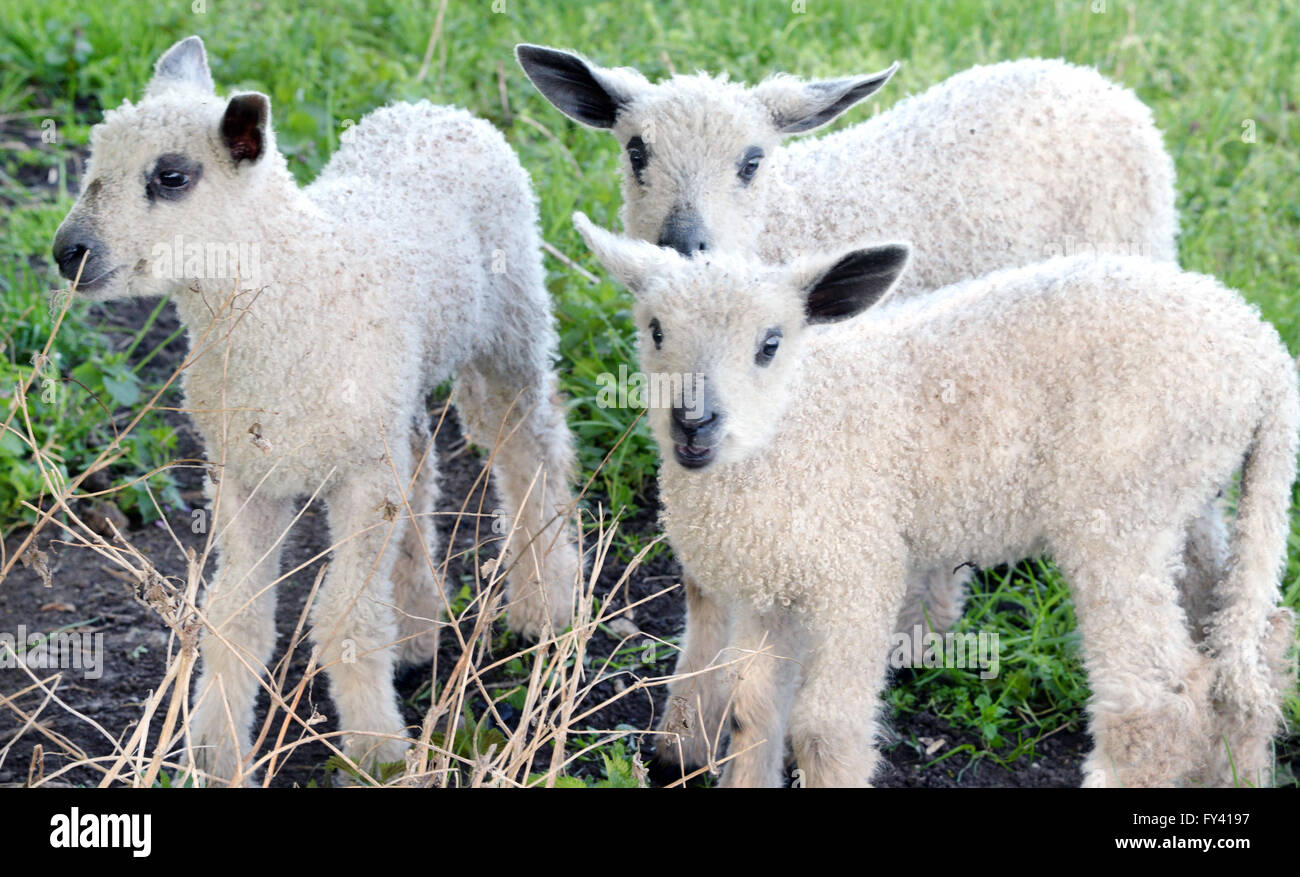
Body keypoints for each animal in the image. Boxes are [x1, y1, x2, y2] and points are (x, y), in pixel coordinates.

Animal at [50, 36, 582, 784]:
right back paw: (416, 630)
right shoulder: (244, 474)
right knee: (421, 466)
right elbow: (234, 618)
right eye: (93, 165)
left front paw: (379, 753)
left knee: (529, 445)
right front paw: (215, 755)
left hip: (508, 325)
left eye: (172, 176)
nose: (68, 252)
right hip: (392, 395)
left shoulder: (358, 472)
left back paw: (545, 606)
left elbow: (346, 618)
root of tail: (432, 106)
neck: (294, 287)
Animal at [516, 47, 1227, 770]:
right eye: (637, 149)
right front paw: (683, 737)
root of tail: (1087, 76)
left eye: (751, 160)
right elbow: (707, 583)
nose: (683, 243)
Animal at [573, 212, 1298, 788]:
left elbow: (825, 731)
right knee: (1247, 658)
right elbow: (754, 713)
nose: (693, 422)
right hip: (1190, 500)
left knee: (1157, 704)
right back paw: (1238, 772)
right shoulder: (768, 586)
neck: (792, 429)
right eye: (656, 330)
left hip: (1120, 511)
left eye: (770, 344)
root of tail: (1265, 354)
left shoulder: (857, 573)